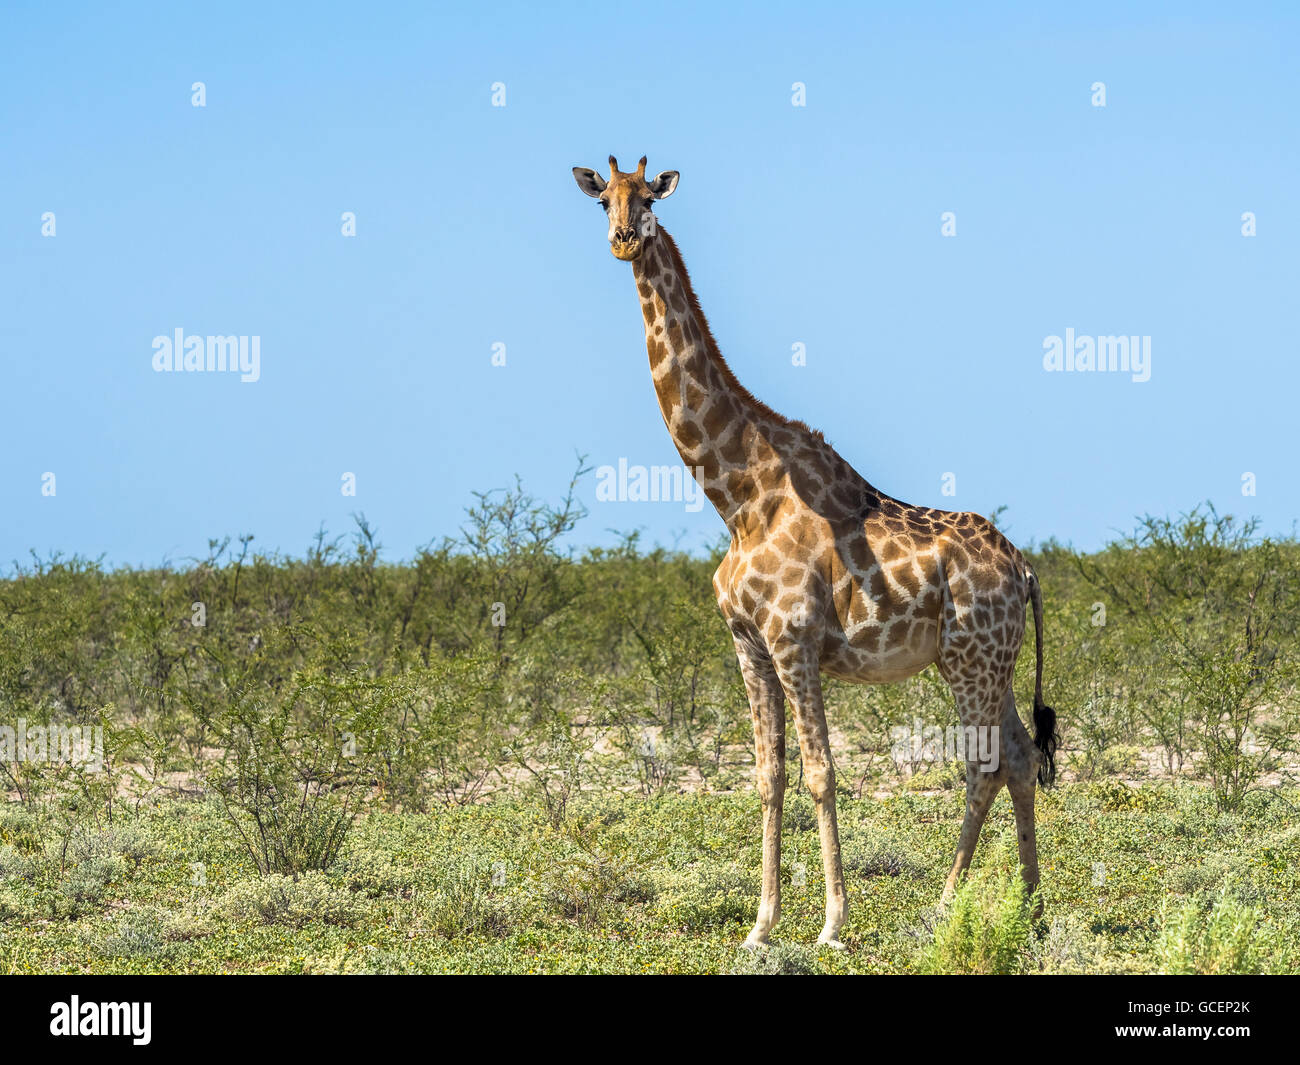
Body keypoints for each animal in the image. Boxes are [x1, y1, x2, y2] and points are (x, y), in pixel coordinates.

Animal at [572, 156, 1059, 949]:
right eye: (602, 199)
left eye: (648, 197)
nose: (623, 238)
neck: (737, 495)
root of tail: (1023, 568)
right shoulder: (747, 642)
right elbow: (767, 775)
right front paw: (761, 925)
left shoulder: (793, 638)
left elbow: (821, 772)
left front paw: (832, 922)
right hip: (995, 659)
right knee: (1019, 754)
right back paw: (1031, 910)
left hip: (971, 659)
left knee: (984, 764)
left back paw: (943, 909)